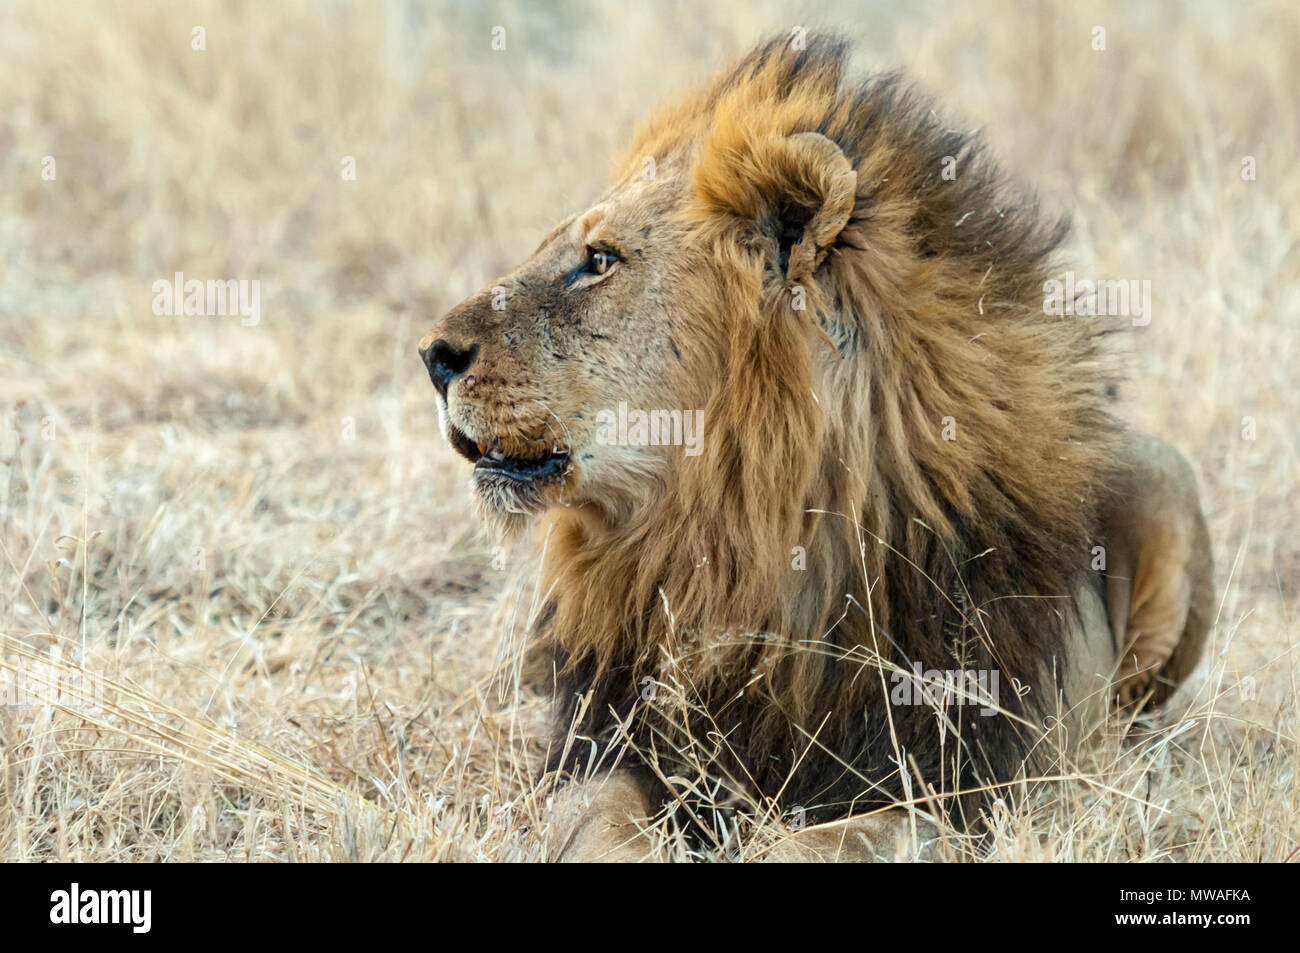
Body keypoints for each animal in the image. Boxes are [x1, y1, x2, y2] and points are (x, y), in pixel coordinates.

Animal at [417, 34, 1213, 861]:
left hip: (1168, 484)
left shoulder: (963, 784)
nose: (431, 356)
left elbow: (817, 842)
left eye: (599, 260)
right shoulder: (609, 738)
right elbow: (600, 821)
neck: (732, 537)